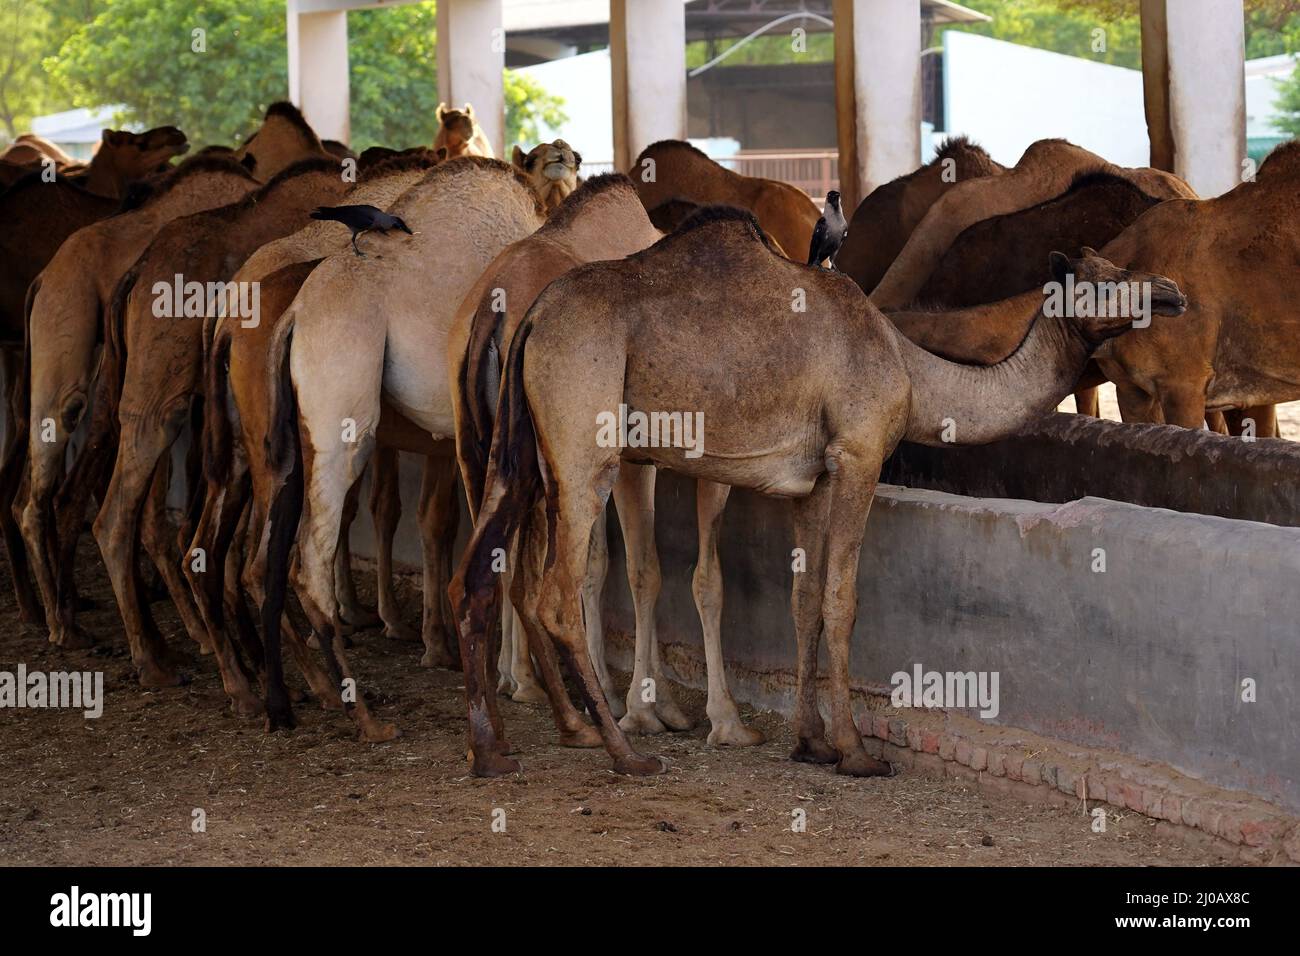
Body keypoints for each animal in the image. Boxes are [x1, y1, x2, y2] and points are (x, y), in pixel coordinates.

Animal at [251, 157, 545, 740]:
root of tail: (296, 314)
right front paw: (523, 682)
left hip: (288, 441)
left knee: (265, 559)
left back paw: (284, 704)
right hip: (345, 417)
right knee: (307, 560)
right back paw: (363, 714)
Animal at [448, 208, 1188, 778]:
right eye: (1104, 281)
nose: (1173, 292)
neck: (911, 369)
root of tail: (531, 319)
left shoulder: (812, 481)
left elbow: (802, 599)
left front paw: (807, 742)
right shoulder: (859, 454)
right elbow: (841, 597)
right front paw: (855, 749)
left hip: (517, 452)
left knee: (479, 574)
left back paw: (496, 751)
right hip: (583, 440)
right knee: (556, 592)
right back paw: (626, 752)